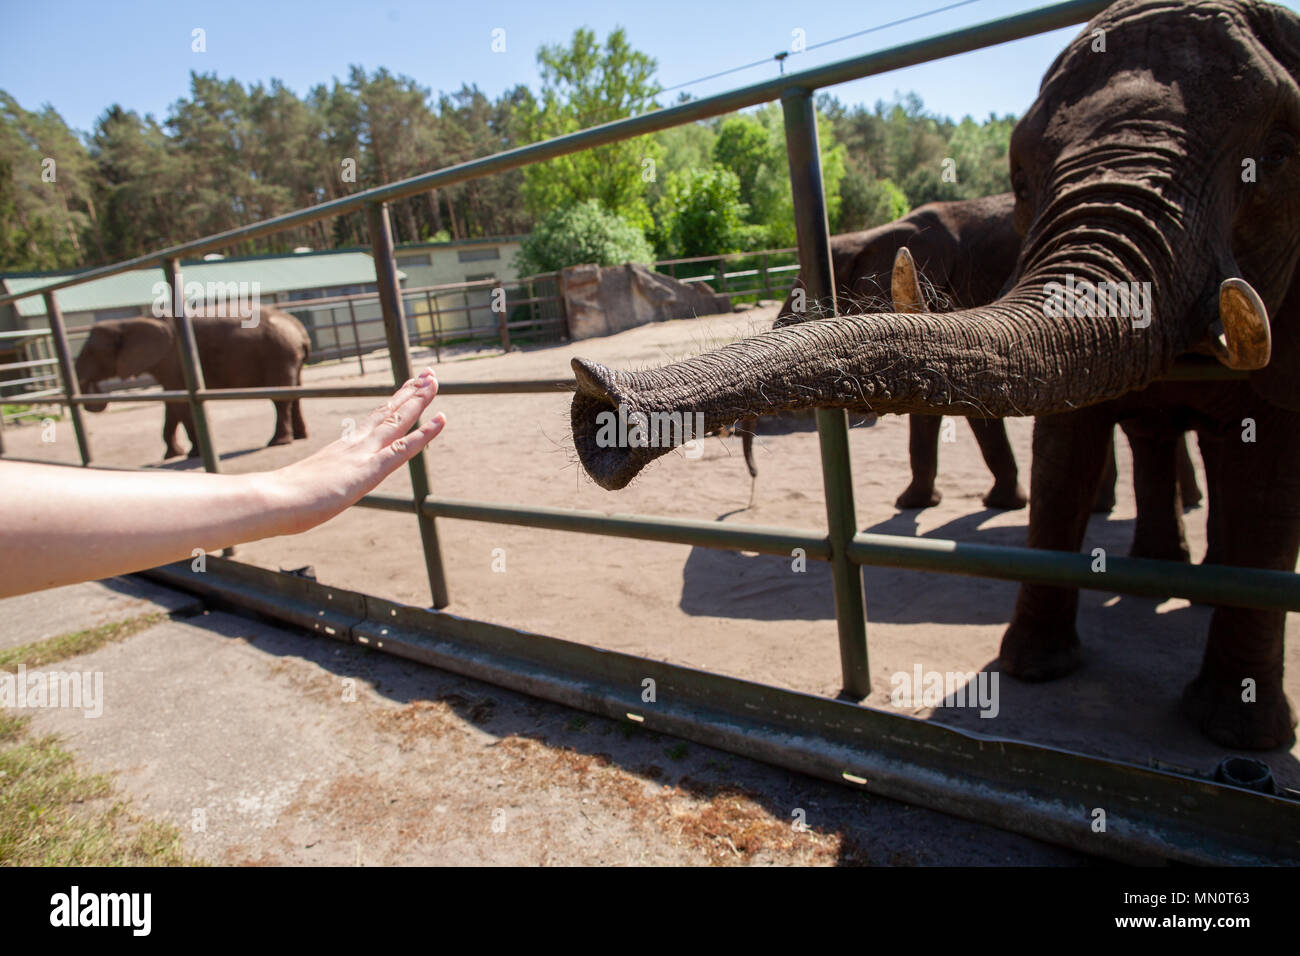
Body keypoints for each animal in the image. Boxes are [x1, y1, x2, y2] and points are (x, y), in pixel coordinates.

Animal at [75, 308, 310, 459]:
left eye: (90, 352)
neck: (128, 323)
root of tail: (299, 328)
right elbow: (171, 405)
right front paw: (173, 455)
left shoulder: (171, 358)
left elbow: (180, 405)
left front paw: (192, 454)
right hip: (287, 357)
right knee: (295, 394)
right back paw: (299, 437)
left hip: (278, 353)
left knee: (280, 396)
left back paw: (278, 442)